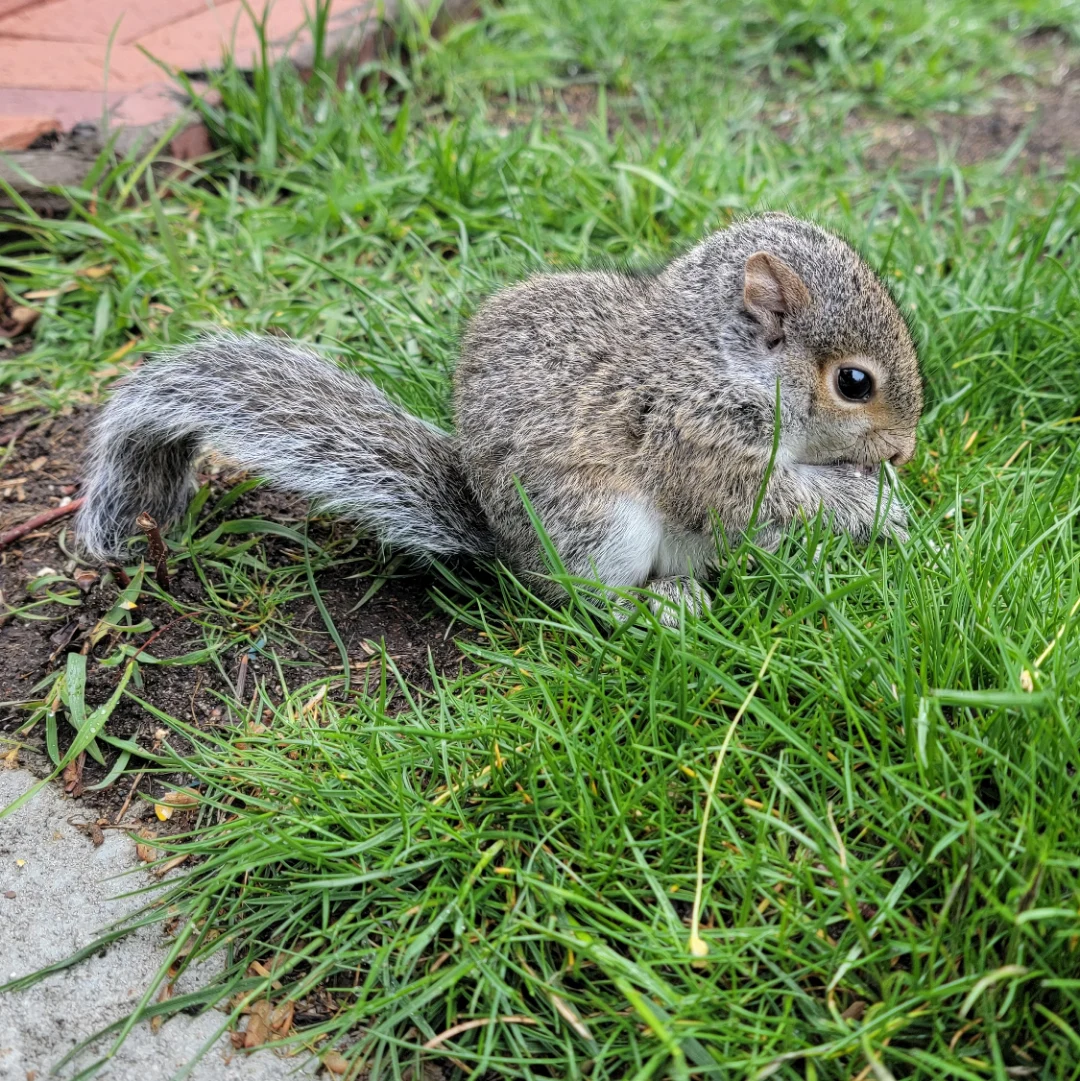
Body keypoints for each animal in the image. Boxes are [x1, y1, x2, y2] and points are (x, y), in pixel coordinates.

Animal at [76, 213, 922, 620]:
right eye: (854, 382)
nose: (907, 451)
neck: (722, 364)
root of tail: (505, 543)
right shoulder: (697, 438)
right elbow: (760, 502)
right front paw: (870, 504)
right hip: (597, 525)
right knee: (583, 600)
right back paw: (657, 607)